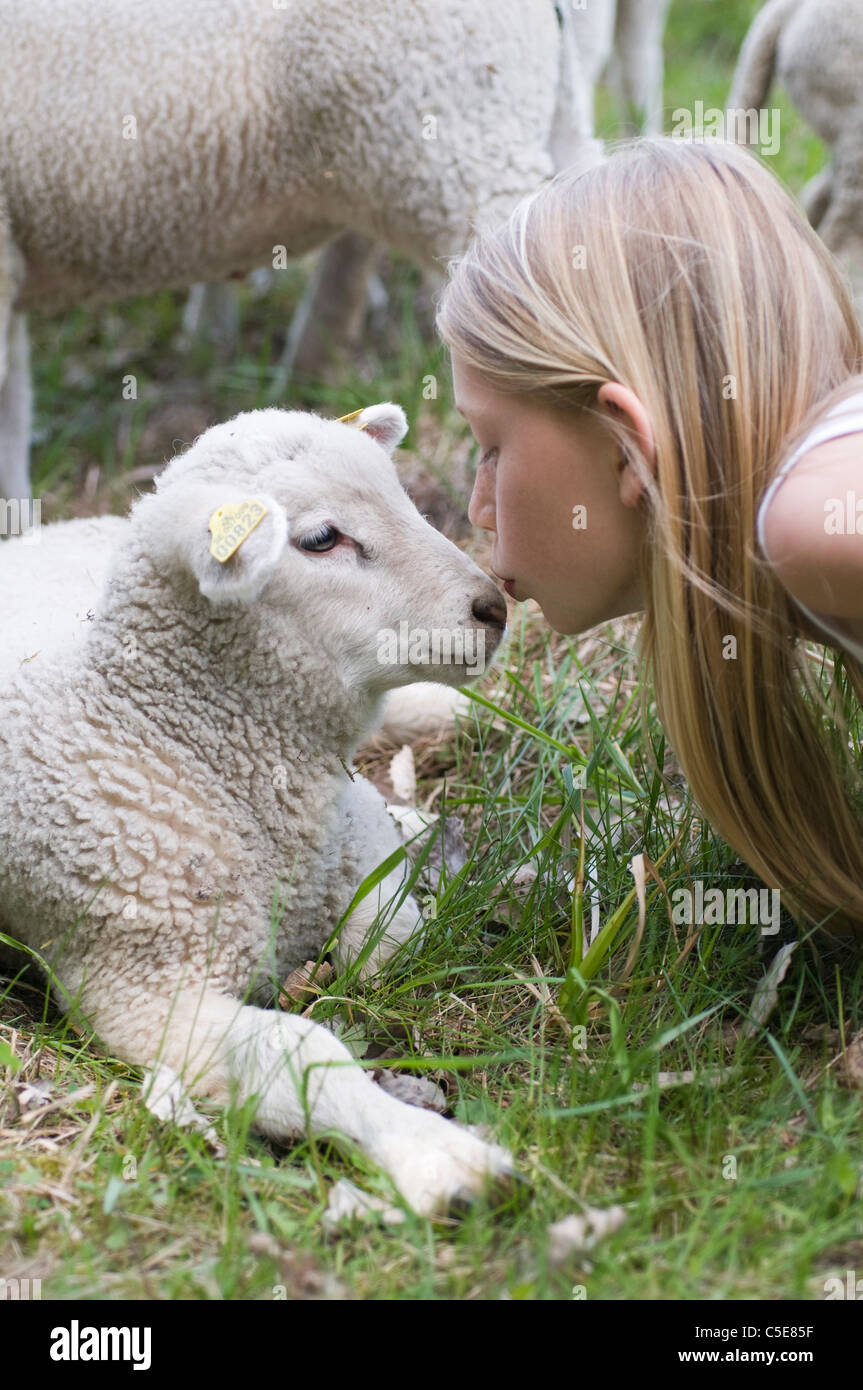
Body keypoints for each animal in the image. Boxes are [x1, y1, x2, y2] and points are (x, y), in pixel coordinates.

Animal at [0, 401, 516, 1219]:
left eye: (404, 499)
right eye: (321, 538)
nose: (491, 608)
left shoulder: (355, 858)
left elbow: (391, 943)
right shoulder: (140, 984)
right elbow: (302, 1047)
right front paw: (436, 1157)